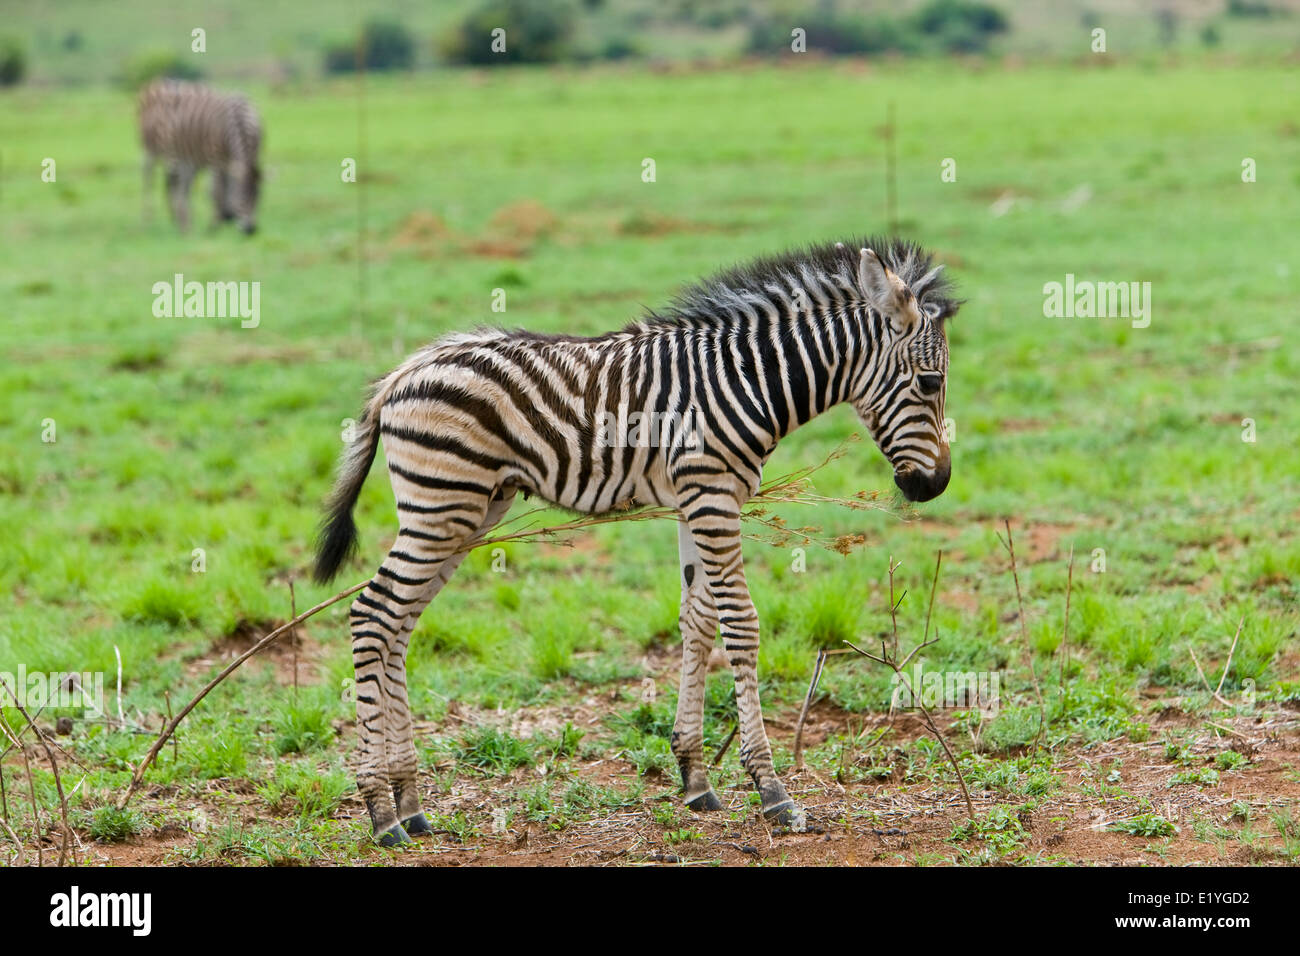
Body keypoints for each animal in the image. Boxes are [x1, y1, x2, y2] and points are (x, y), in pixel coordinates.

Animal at [138, 78, 262, 235]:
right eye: (241, 195)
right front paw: (214, 225)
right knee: (149, 181)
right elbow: (215, 190)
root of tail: (159, 80)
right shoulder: (216, 159)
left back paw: (179, 221)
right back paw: (147, 221)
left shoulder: (240, 158)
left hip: (181, 158)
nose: (250, 230)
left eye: (260, 196)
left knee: (176, 186)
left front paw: (221, 219)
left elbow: (221, 187)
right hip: (151, 152)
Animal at [313, 237, 960, 844]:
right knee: (373, 613)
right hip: (442, 504)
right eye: (930, 382)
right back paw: (381, 813)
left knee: (398, 625)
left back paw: (410, 804)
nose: (935, 486)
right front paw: (773, 792)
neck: (749, 381)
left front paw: (695, 778)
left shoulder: (695, 501)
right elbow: (741, 624)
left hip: (468, 511)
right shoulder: (711, 494)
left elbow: (697, 621)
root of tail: (405, 370)